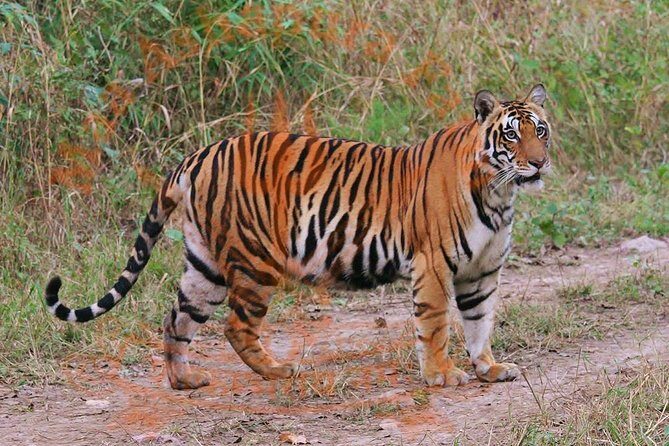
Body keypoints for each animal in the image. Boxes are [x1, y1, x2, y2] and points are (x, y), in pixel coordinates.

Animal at [45, 84, 552, 390]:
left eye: (541, 130)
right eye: (511, 136)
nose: (539, 162)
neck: (499, 194)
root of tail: (197, 155)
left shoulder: (482, 271)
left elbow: (480, 321)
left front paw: (489, 368)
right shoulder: (433, 266)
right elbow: (436, 325)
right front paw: (441, 376)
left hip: (205, 266)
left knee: (176, 319)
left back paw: (184, 381)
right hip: (254, 261)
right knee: (236, 326)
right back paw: (278, 370)